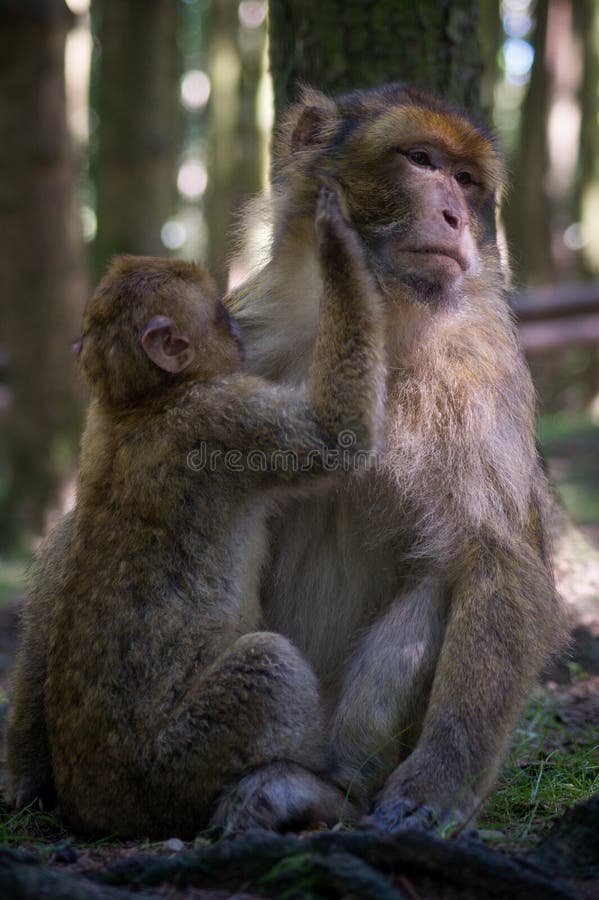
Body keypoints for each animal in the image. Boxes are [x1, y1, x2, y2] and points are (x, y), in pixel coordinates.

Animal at [3, 186, 386, 838]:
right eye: (221, 318)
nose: (238, 327)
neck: (141, 401)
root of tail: (101, 807)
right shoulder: (222, 419)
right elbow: (334, 435)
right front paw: (337, 248)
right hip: (172, 767)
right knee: (266, 665)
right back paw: (317, 792)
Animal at [225, 83, 568, 831]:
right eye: (421, 160)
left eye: (466, 180)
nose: (455, 215)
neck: (371, 322)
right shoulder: (240, 336)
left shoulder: (485, 367)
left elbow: (498, 560)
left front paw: (437, 783)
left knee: (439, 583)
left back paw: (330, 791)